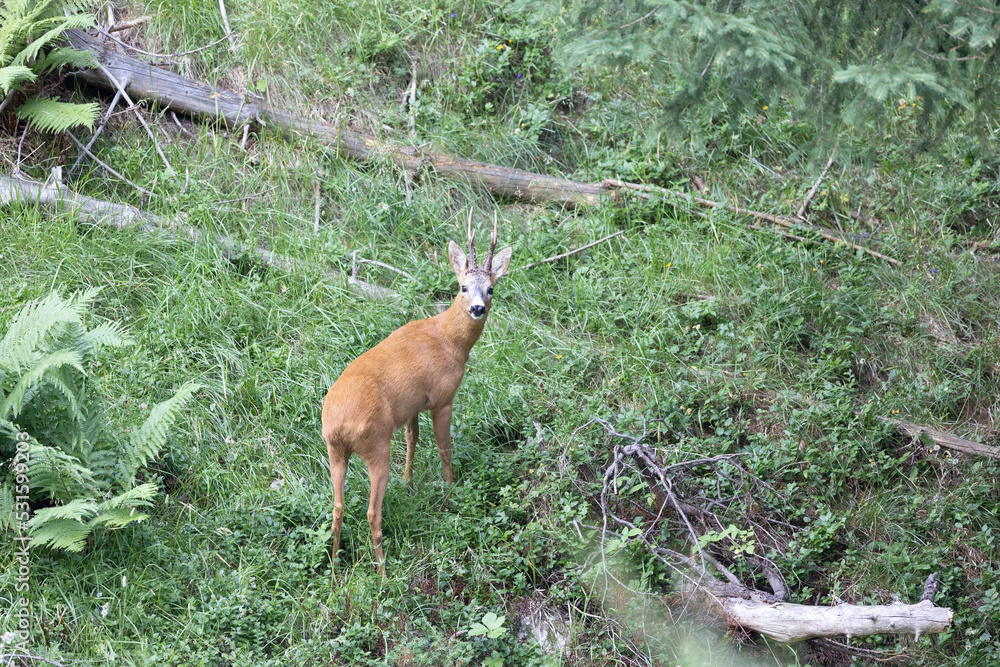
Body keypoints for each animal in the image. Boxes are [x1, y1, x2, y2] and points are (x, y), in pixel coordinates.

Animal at [321, 213, 513, 575]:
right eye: (463, 287)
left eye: (491, 288)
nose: (478, 308)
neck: (448, 340)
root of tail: (338, 426)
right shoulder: (442, 398)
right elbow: (443, 448)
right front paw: (450, 493)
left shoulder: (411, 406)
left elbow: (413, 439)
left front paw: (409, 483)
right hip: (376, 444)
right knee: (372, 512)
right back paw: (383, 574)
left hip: (335, 451)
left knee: (337, 506)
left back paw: (337, 566)